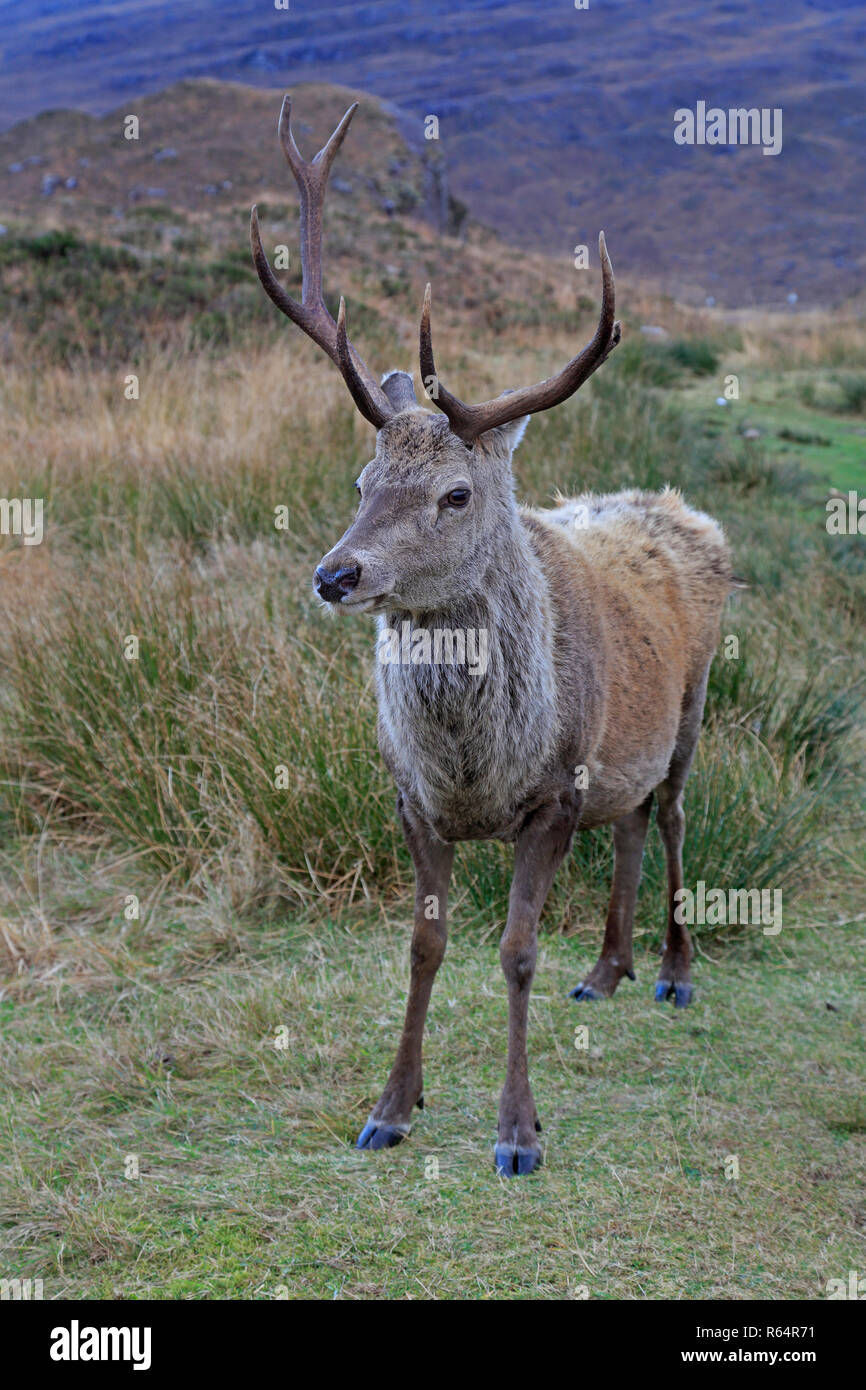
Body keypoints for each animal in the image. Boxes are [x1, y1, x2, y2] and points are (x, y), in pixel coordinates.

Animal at [251, 97, 734, 1177]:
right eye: (361, 479)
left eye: (454, 493)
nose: (334, 575)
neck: (475, 764)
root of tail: (682, 509)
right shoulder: (412, 800)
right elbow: (423, 947)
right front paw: (391, 1106)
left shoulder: (551, 794)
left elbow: (514, 952)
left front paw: (518, 1132)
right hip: (624, 745)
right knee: (630, 819)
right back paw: (606, 968)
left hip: (692, 707)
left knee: (673, 815)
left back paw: (675, 970)